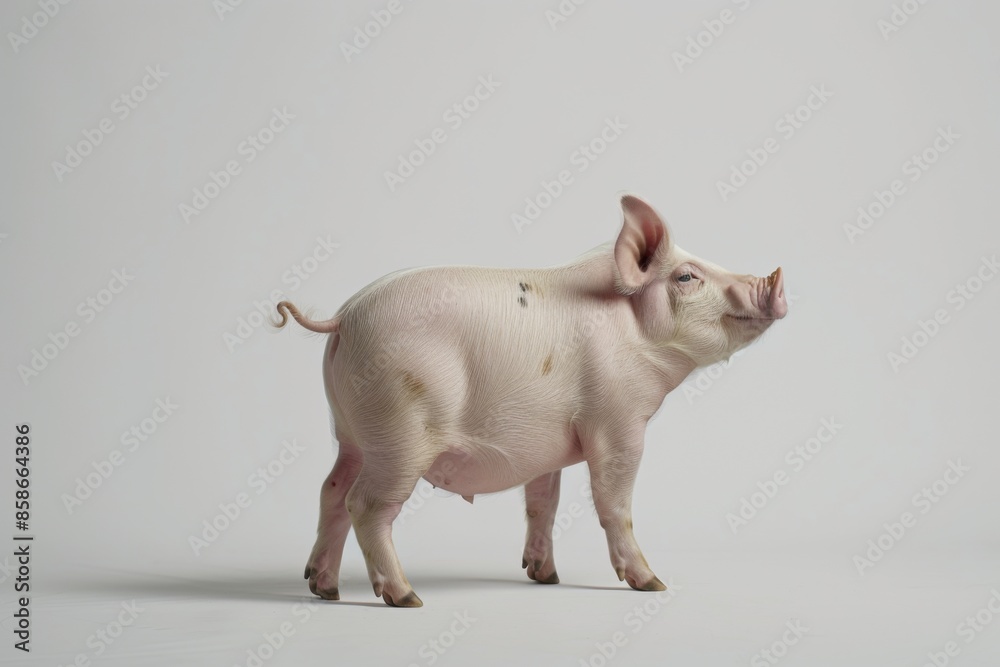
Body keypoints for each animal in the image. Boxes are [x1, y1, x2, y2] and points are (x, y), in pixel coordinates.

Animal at [275, 194, 786, 607]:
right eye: (686, 277)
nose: (775, 282)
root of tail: (343, 317)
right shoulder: (618, 421)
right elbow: (613, 503)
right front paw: (653, 584)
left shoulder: (549, 443)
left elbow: (544, 502)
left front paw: (547, 578)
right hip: (399, 428)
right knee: (366, 504)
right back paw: (406, 598)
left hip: (351, 432)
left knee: (331, 491)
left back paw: (323, 588)